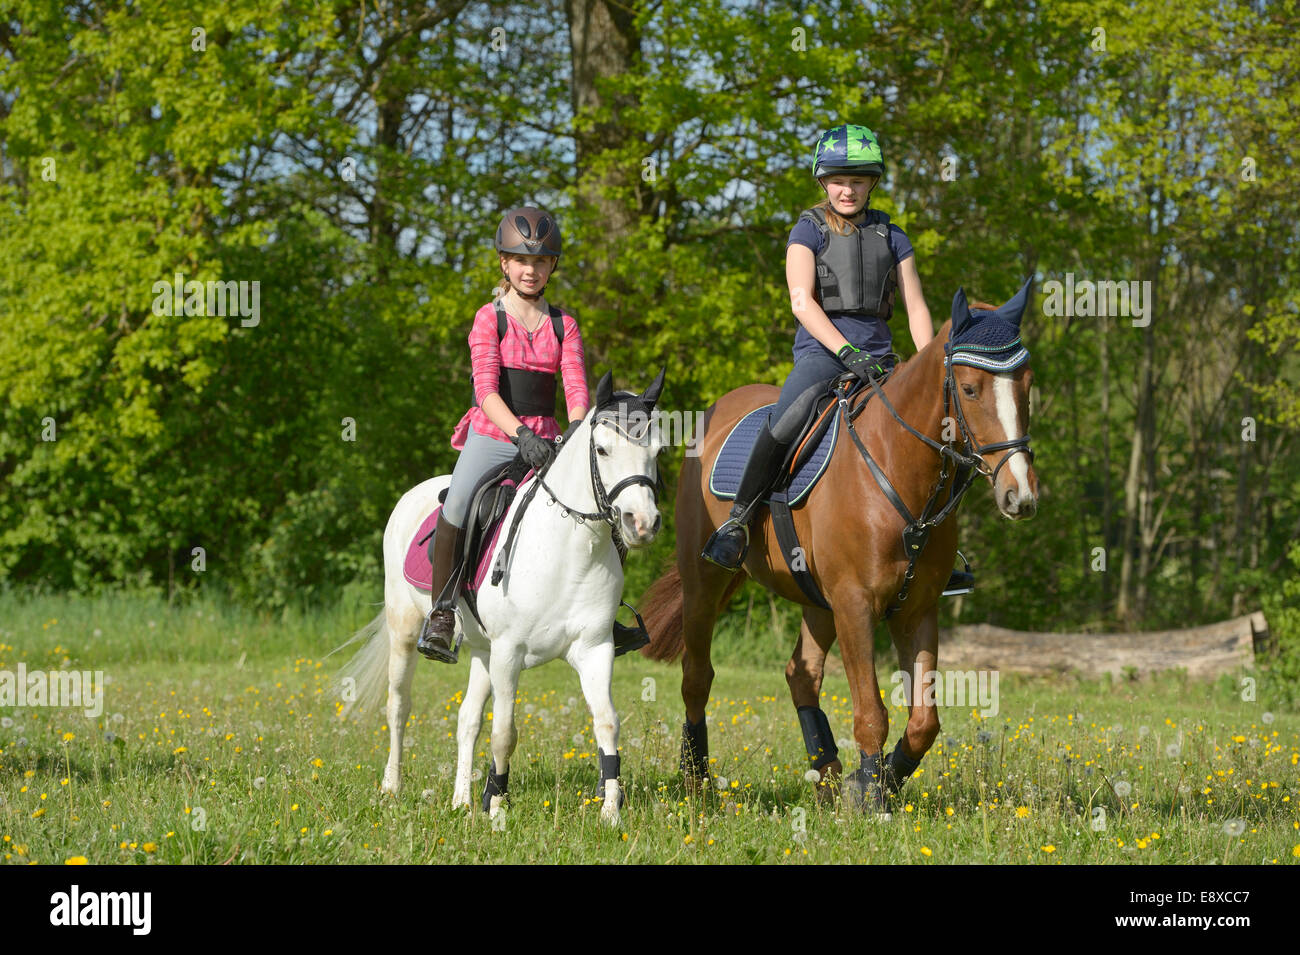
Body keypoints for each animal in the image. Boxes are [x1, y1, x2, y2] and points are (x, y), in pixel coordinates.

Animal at [337, 369, 666, 826]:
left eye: (658, 450)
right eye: (602, 448)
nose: (643, 524)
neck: (568, 549)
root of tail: (413, 494)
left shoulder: (594, 649)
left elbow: (607, 723)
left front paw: (610, 812)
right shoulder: (510, 653)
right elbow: (505, 733)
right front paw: (496, 808)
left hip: (481, 650)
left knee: (467, 720)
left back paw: (461, 800)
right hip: (405, 629)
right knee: (398, 707)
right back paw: (391, 788)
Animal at [638, 281, 1038, 815]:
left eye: (1027, 385)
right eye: (970, 389)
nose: (1020, 496)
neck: (896, 468)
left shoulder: (916, 610)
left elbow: (924, 722)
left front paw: (874, 782)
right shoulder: (855, 603)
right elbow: (872, 712)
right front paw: (870, 797)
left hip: (816, 599)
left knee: (801, 674)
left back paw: (826, 776)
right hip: (706, 582)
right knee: (696, 675)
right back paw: (696, 781)